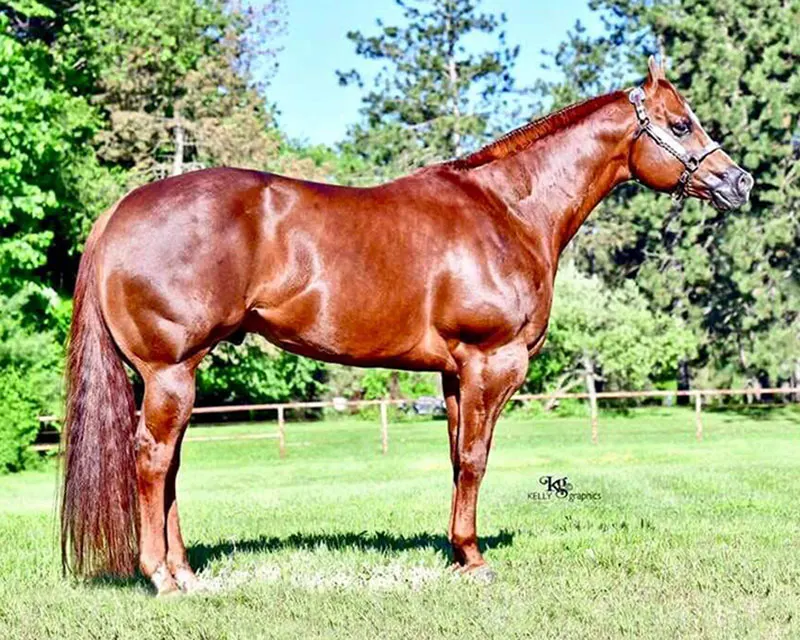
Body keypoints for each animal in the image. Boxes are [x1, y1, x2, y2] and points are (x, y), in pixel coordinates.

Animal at [60, 57, 752, 595]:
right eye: (680, 123)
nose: (738, 181)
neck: (508, 210)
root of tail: (121, 210)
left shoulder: (454, 374)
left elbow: (456, 458)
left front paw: (456, 554)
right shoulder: (491, 361)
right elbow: (474, 459)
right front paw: (474, 559)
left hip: (175, 375)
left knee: (171, 463)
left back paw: (186, 573)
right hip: (169, 371)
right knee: (153, 460)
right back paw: (161, 577)